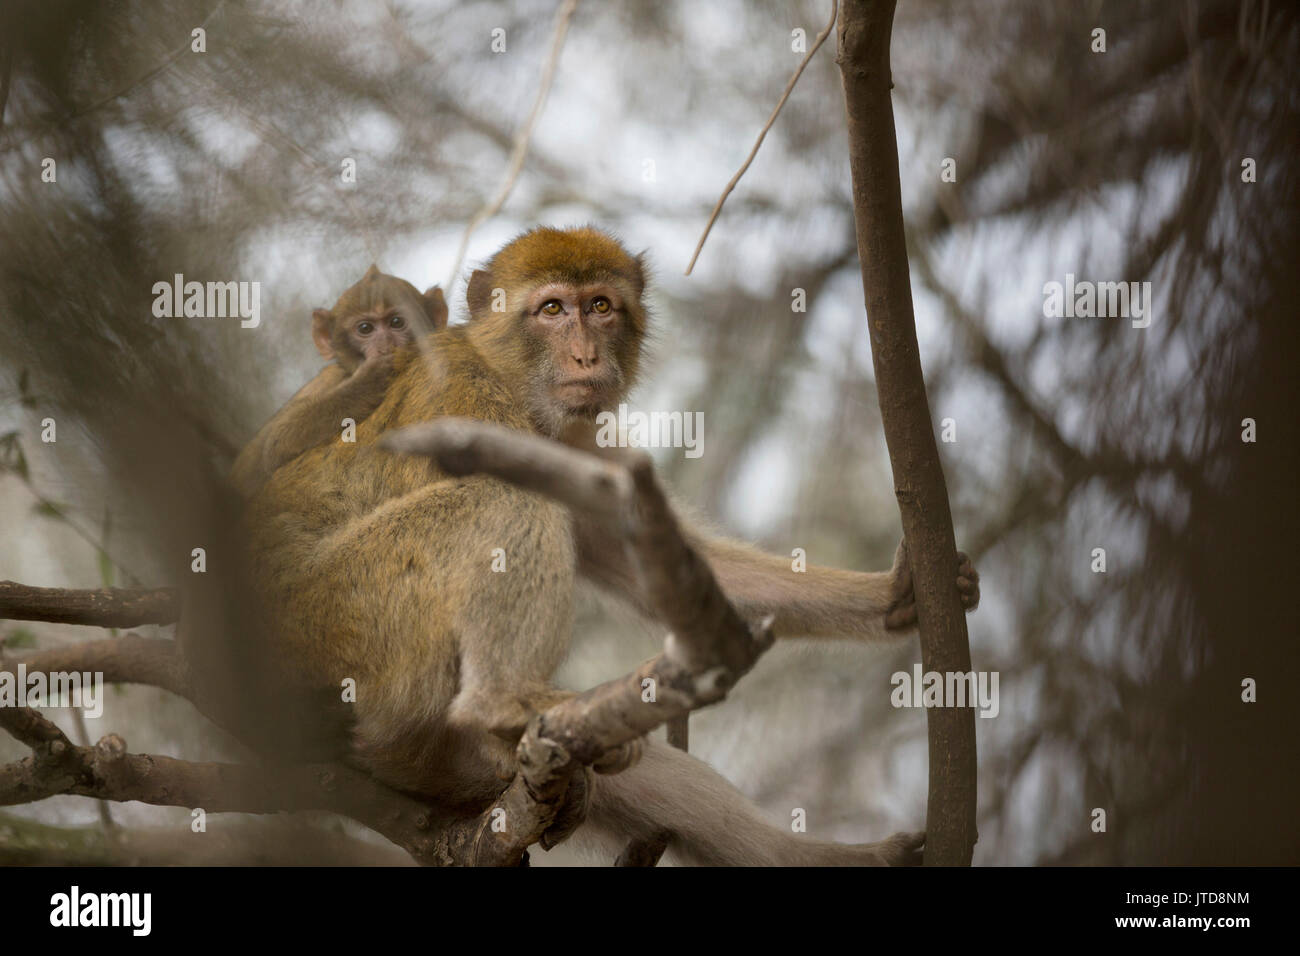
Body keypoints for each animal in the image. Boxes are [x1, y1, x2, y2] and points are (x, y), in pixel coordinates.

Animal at [228, 265, 448, 497]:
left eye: (397, 322)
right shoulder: (330, 379)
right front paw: (367, 383)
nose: (385, 346)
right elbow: (276, 444)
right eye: (365, 328)